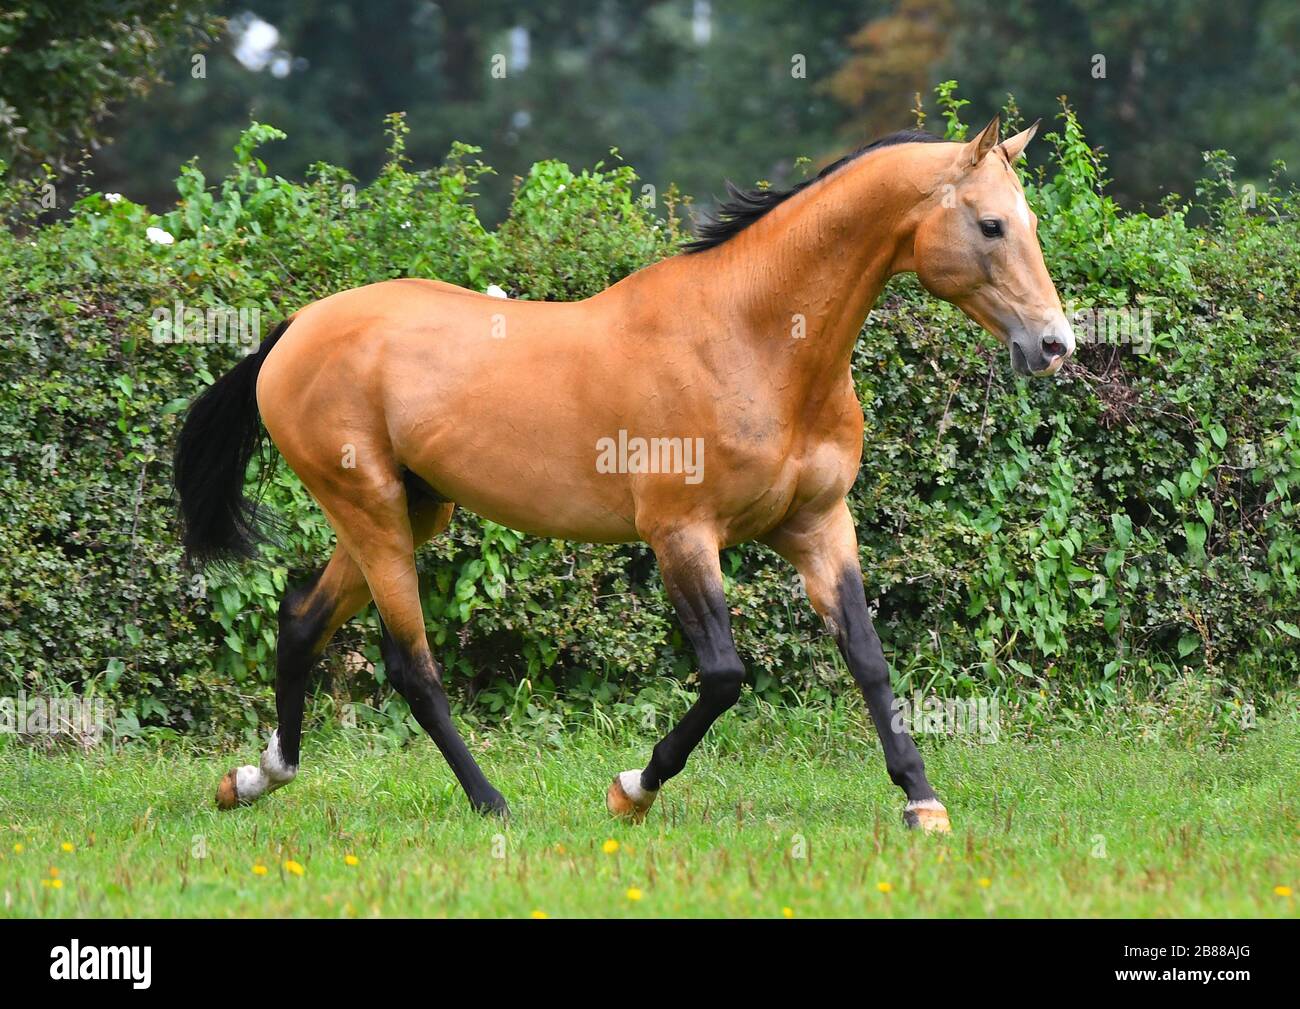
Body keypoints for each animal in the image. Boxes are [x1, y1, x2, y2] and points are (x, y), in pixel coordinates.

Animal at [174, 116, 1074, 833]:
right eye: (992, 224)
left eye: (1029, 221)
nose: (1055, 344)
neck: (754, 339)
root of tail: (295, 329)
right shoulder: (681, 534)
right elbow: (724, 676)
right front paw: (631, 790)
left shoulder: (818, 526)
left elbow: (869, 657)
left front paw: (922, 801)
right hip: (370, 510)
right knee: (411, 666)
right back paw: (491, 803)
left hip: (409, 512)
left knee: (300, 622)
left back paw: (252, 778)